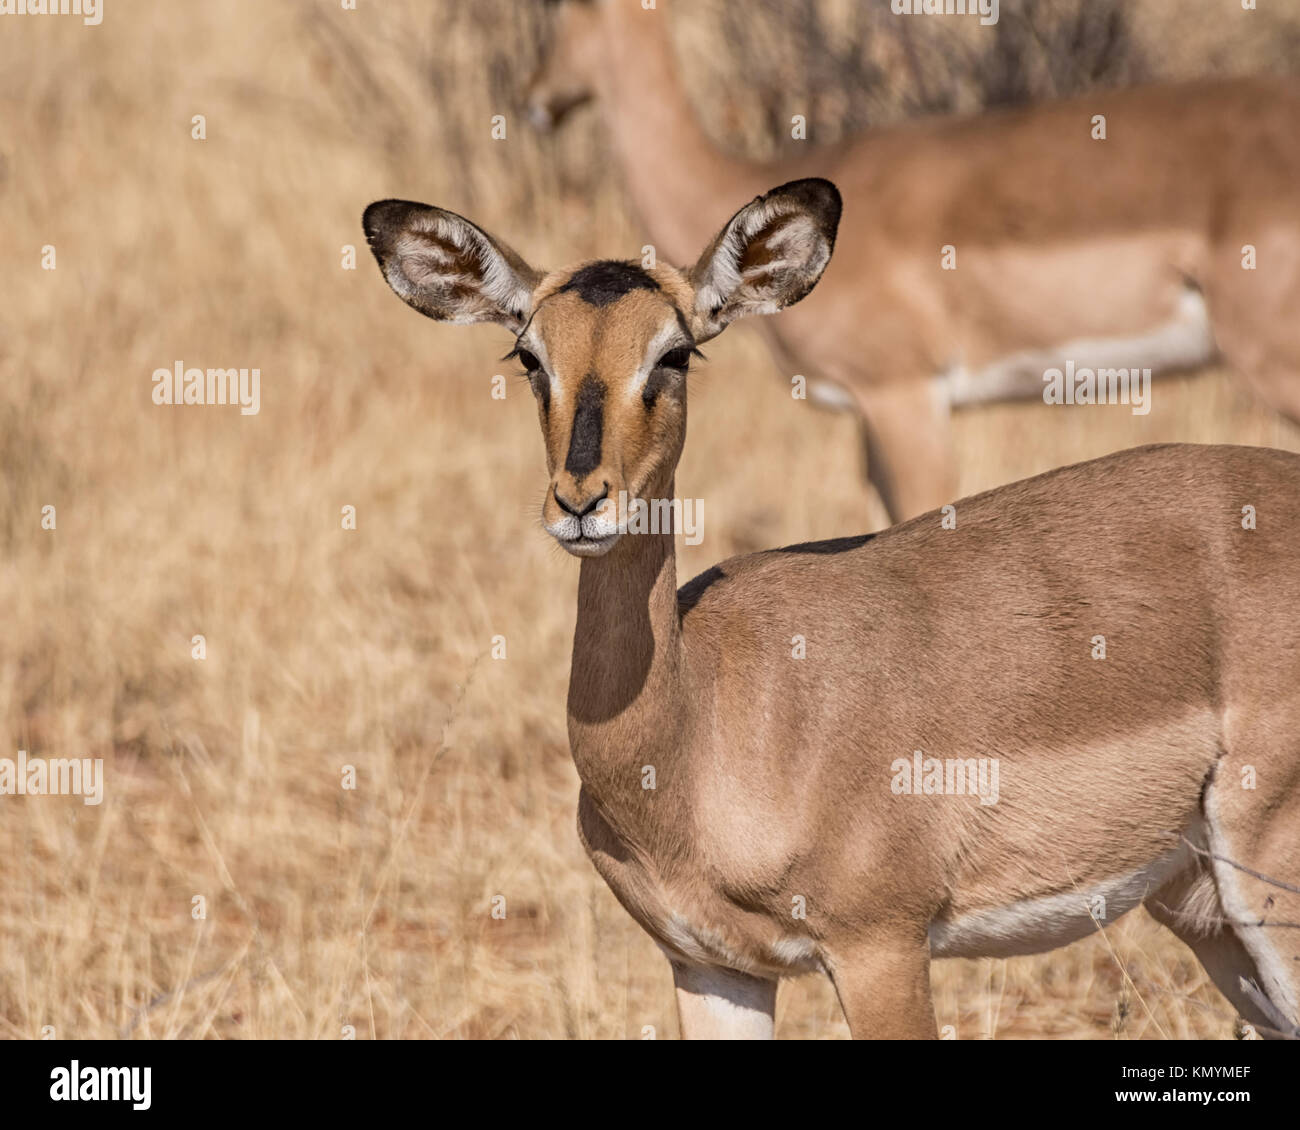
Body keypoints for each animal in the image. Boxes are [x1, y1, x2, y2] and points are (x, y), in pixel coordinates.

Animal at [363, 178, 1300, 1039]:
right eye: (528, 356)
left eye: (675, 354)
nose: (583, 501)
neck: (700, 725)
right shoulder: (712, 967)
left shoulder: (880, 946)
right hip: (1205, 915)